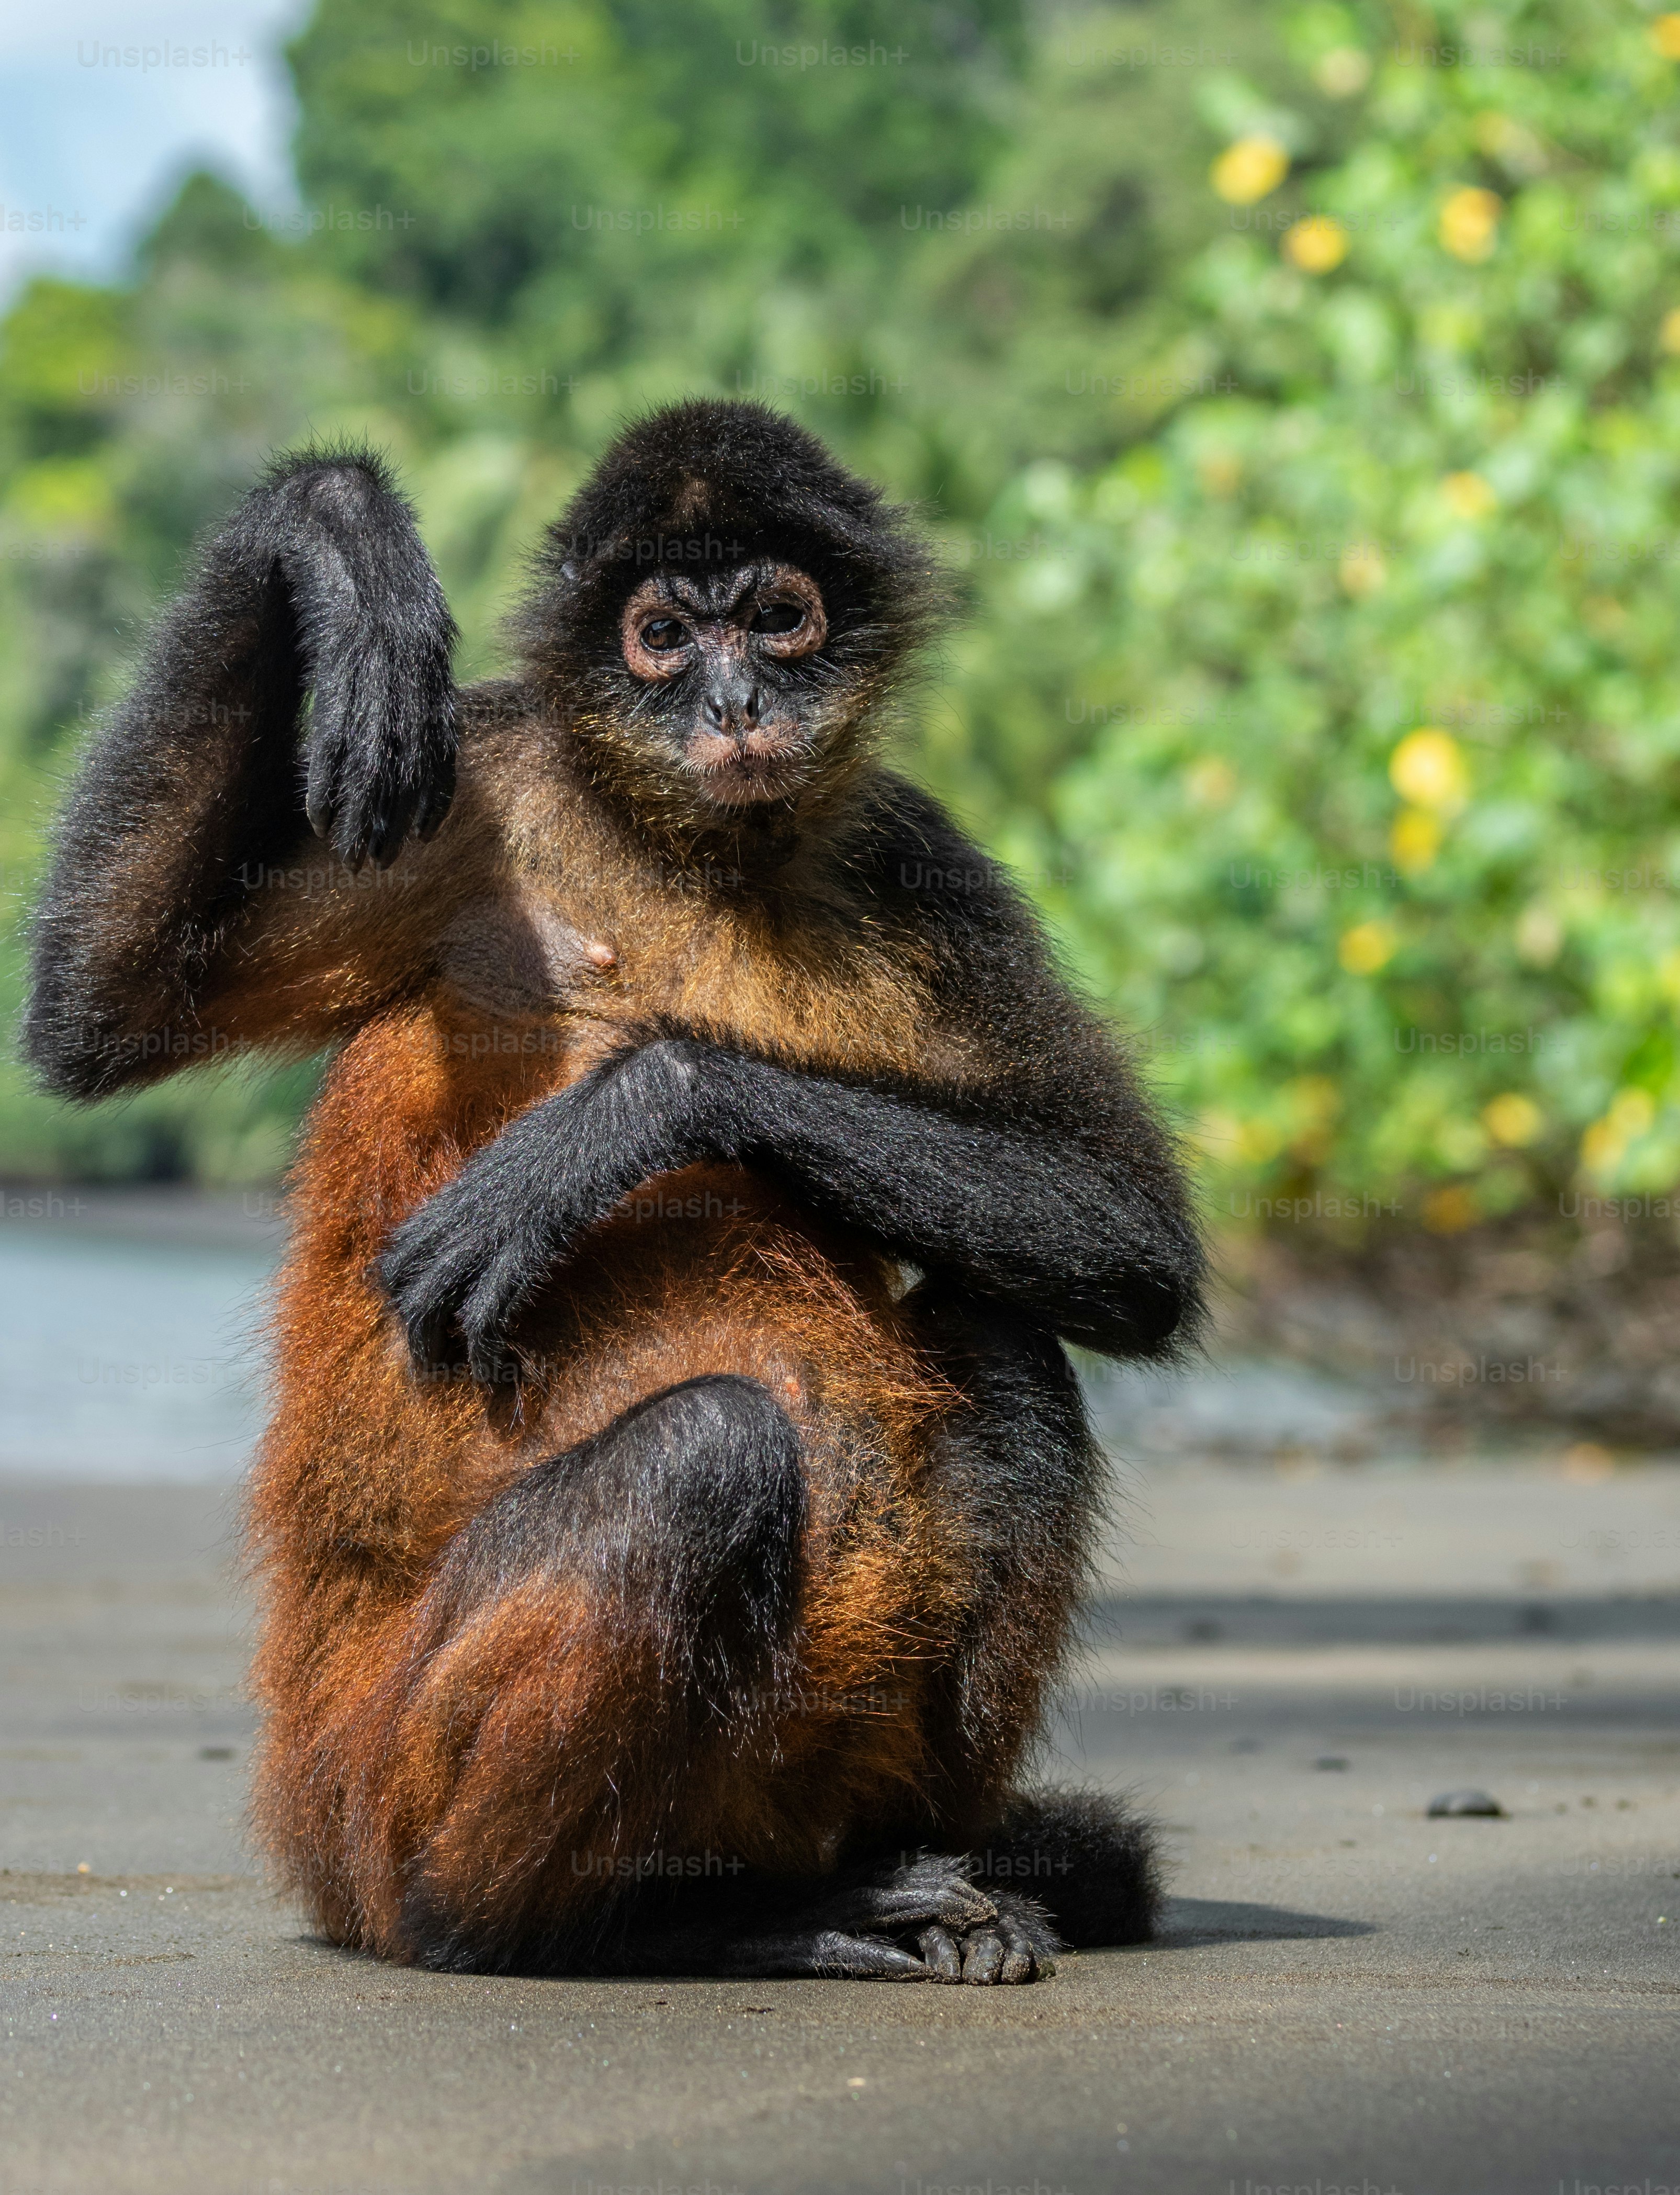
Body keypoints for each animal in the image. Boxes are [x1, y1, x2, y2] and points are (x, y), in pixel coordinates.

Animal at [23, 400, 1202, 1984]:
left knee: (1001, 1337)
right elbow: (101, 1013)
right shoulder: (485, 776)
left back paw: (874, 1876)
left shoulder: (914, 857)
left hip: (808, 1752)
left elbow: (1134, 1239)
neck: (685, 852)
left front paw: (625, 1114)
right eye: (662, 636)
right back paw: (636, 1921)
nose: (736, 704)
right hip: (380, 1777)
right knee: (704, 1455)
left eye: (776, 618)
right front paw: (334, 532)